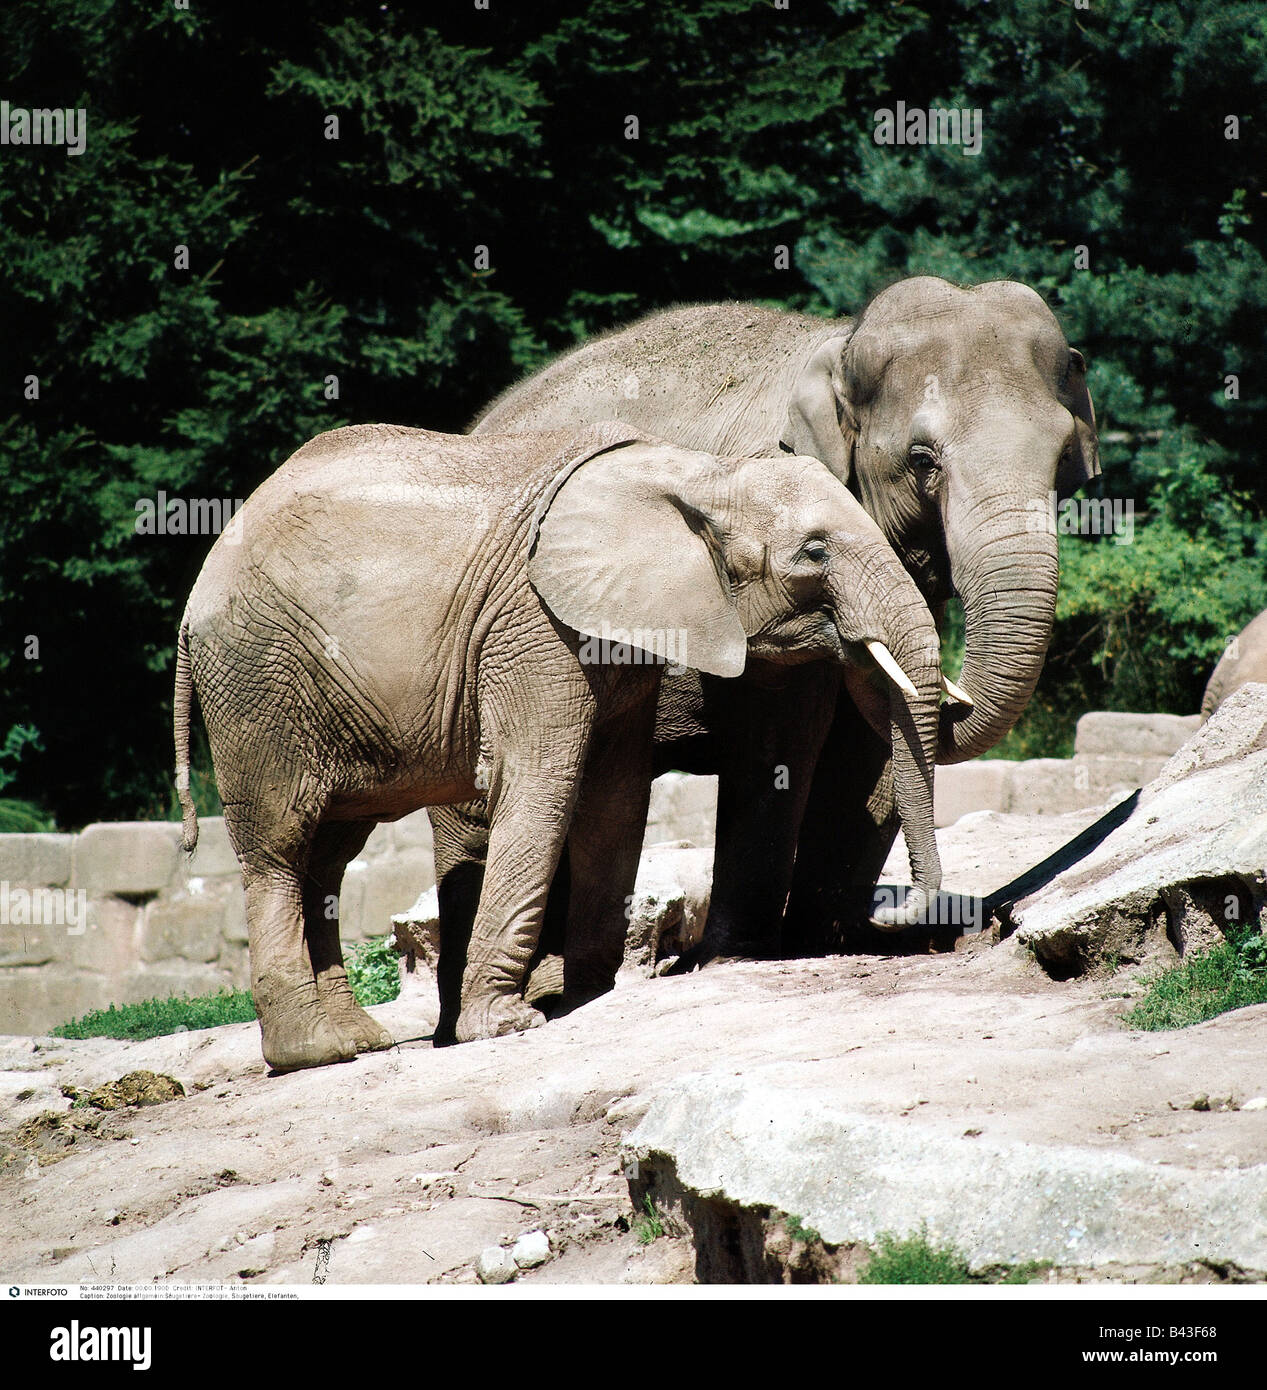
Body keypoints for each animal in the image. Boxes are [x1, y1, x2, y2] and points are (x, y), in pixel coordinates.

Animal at [175, 417, 950, 1067]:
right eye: (814, 553)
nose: (906, 916)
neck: (698, 473)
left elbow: (616, 798)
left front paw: (591, 998)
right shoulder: (534, 626)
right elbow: (542, 785)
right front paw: (508, 1025)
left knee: (328, 856)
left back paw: (355, 1041)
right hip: (258, 679)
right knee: (281, 846)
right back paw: (312, 1054)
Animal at [436, 273, 1100, 967]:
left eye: (1063, 461)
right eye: (923, 460)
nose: (901, 911)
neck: (838, 342)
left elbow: (869, 735)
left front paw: (827, 939)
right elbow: (781, 726)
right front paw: (738, 955)